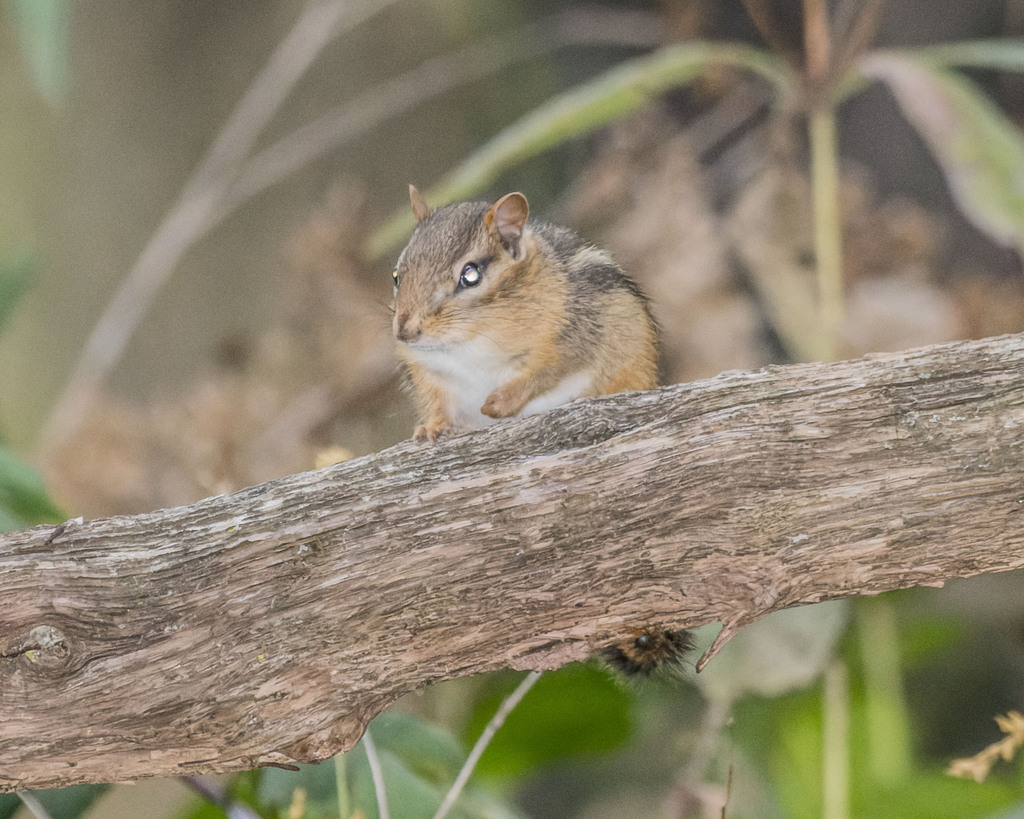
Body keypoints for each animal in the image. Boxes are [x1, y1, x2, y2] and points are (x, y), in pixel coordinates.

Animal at [392, 185, 658, 442]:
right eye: (395, 275)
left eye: (470, 275)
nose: (405, 333)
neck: (471, 341)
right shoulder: (426, 374)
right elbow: (436, 403)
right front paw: (432, 427)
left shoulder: (577, 335)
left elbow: (546, 373)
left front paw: (499, 403)